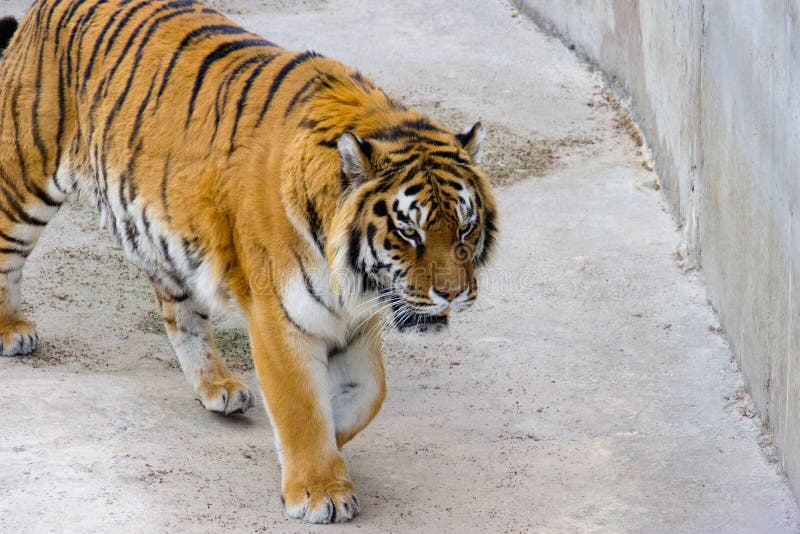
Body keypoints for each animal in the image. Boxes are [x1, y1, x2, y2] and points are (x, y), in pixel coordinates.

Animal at [0, 0, 497, 524]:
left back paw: (217, 385)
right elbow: (300, 404)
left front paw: (327, 446)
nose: (453, 294)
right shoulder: (280, 315)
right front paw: (321, 490)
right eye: (409, 231)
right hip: (27, 176)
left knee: (178, 311)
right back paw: (12, 331)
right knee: (7, 248)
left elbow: (368, 393)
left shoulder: (354, 320)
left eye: (466, 226)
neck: (352, 279)